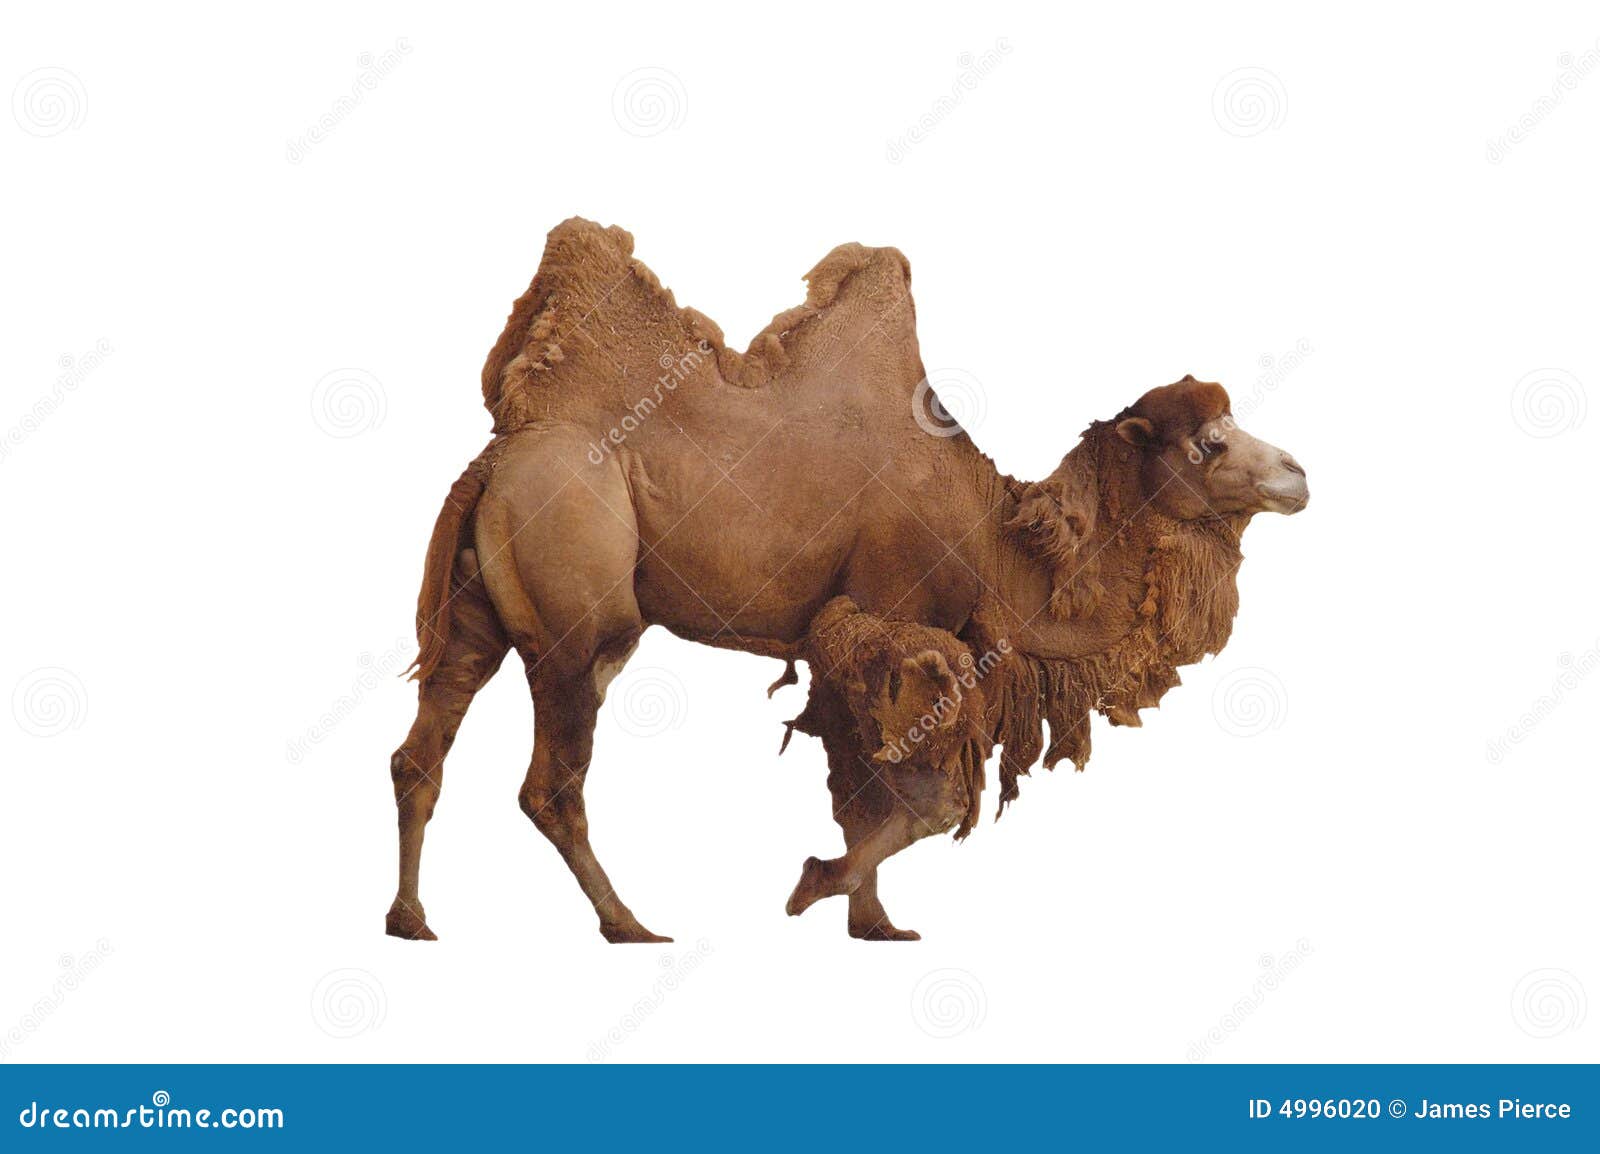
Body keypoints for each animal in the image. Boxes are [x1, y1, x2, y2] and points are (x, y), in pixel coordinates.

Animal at [387, 218, 1310, 943]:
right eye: (1209, 444)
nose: (1297, 474)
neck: (992, 538)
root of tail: (497, 459)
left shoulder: (849, 646)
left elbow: (864, 789)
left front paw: (875, 924)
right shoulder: (881, 628)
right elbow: (925, 798)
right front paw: (815, 885)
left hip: (476, 616)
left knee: (420, 752)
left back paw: (412, 919)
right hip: (580, 624)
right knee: (551, 783)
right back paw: (629, 925)